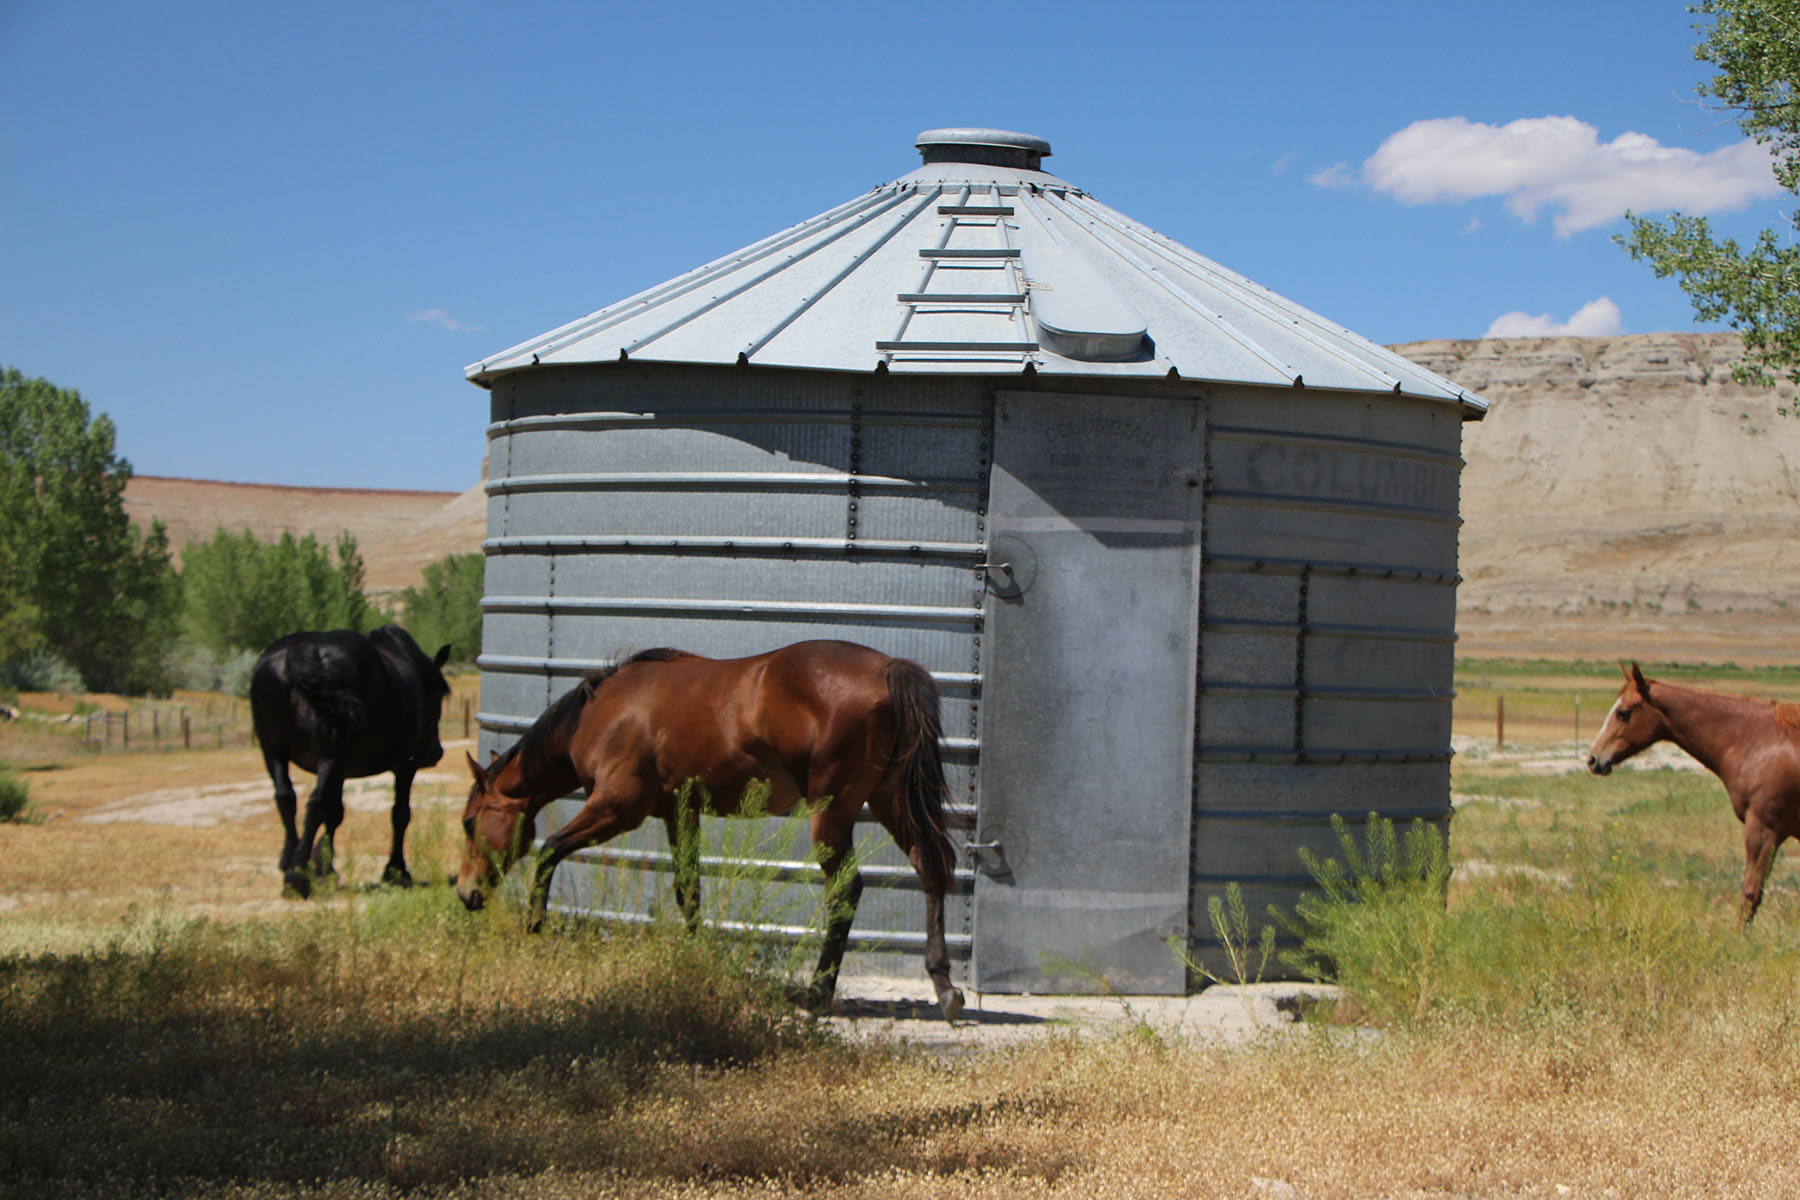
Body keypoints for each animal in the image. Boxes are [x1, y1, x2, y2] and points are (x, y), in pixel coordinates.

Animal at [250, 626, 452, 897]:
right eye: (440, 694)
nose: (435, 752)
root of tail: (300, 651)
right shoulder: (404, 766)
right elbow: (400, 814)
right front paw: (396, 870)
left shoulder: (340, 769)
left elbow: (334, 812)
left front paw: (325, 867)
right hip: (330, 754)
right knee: (314, 804)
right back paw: (297, 876)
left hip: (275, 752)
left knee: (286, 797)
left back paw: (290, 863)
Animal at [454, 639, 964, 1020]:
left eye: (468, 822)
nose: (465, 892)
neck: (604, 712)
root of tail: (888, 669)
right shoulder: (678, 813)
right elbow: (688, 888)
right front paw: (695, 956)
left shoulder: (617, 809)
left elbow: (550, 851)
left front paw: (534, 929)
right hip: (889, 799)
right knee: (930, 866)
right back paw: (944, 987)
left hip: (833, 811)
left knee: (846, 890)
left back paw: (818, 995)